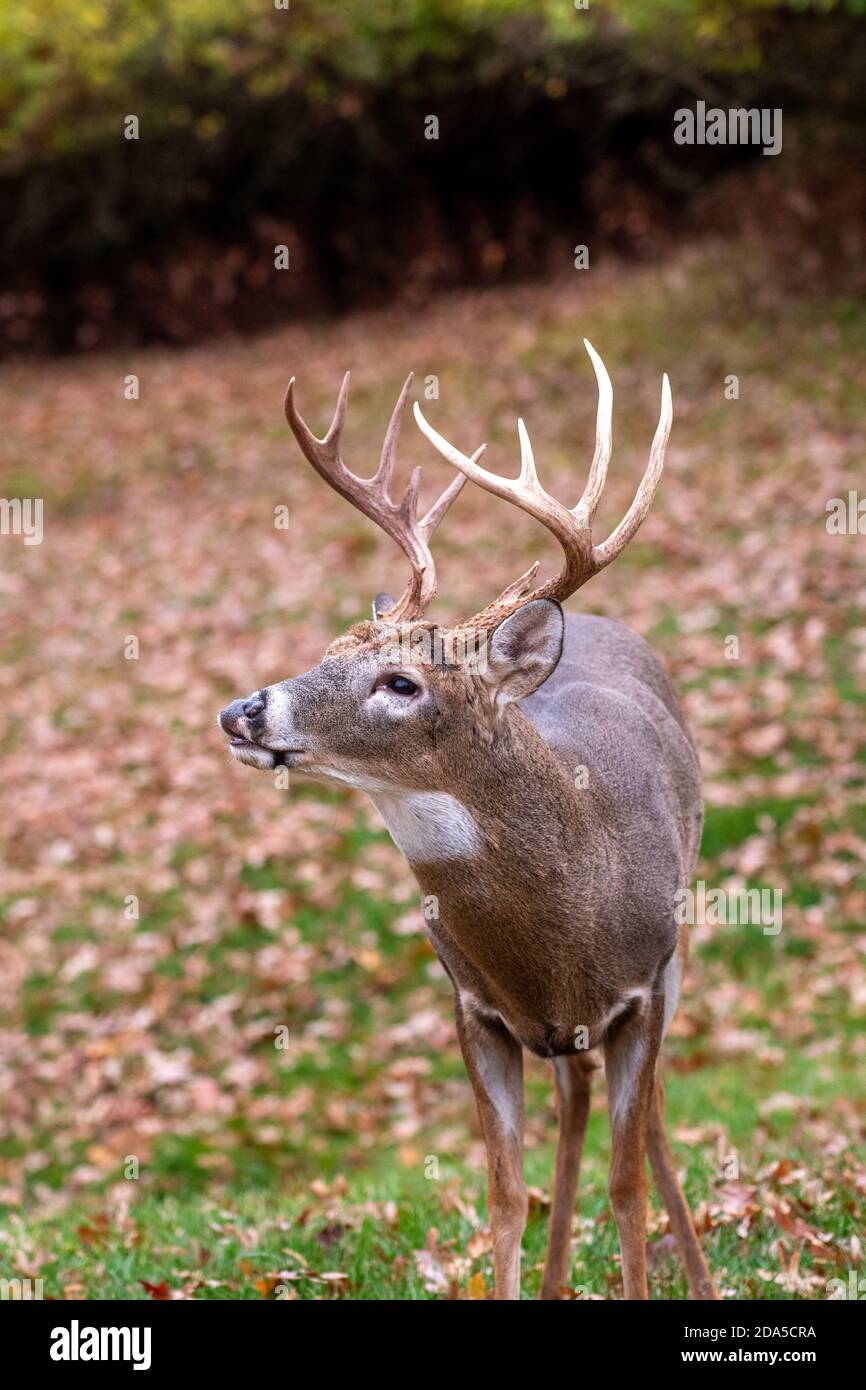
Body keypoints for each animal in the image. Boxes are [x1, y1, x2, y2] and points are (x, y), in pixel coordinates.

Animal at [218, 341, 717, 1301]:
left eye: (402, 682)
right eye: (330, 650)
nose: (241, 711)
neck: (566, 913)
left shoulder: (642, 987)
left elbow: (627, 1184)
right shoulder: (474, 1007)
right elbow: (505, 1195)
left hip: (679, 947)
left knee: (654, 1120)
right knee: (576, 1098)